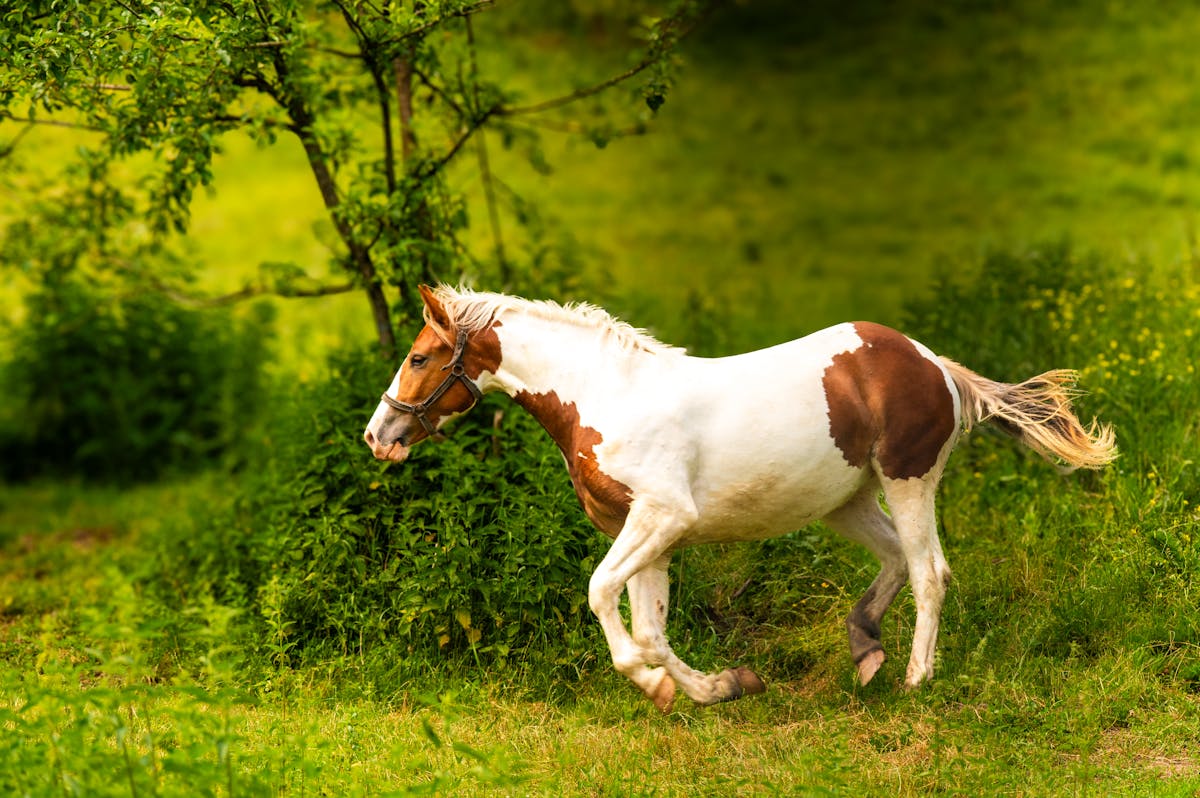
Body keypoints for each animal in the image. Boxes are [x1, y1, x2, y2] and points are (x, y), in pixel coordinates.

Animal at [364, 285, 1117, 712]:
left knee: (930, 572)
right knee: (897, 563)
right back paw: (866, 653)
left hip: (909, 480)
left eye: (421, 357)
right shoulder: (648, 534)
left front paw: (656, 685)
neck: (606, 395)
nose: (379, 435)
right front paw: (715, 688)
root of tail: (934, 364)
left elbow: (603, 597)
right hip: (845, 499)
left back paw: (914, 680)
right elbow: (651, 627)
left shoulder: (662, 517)